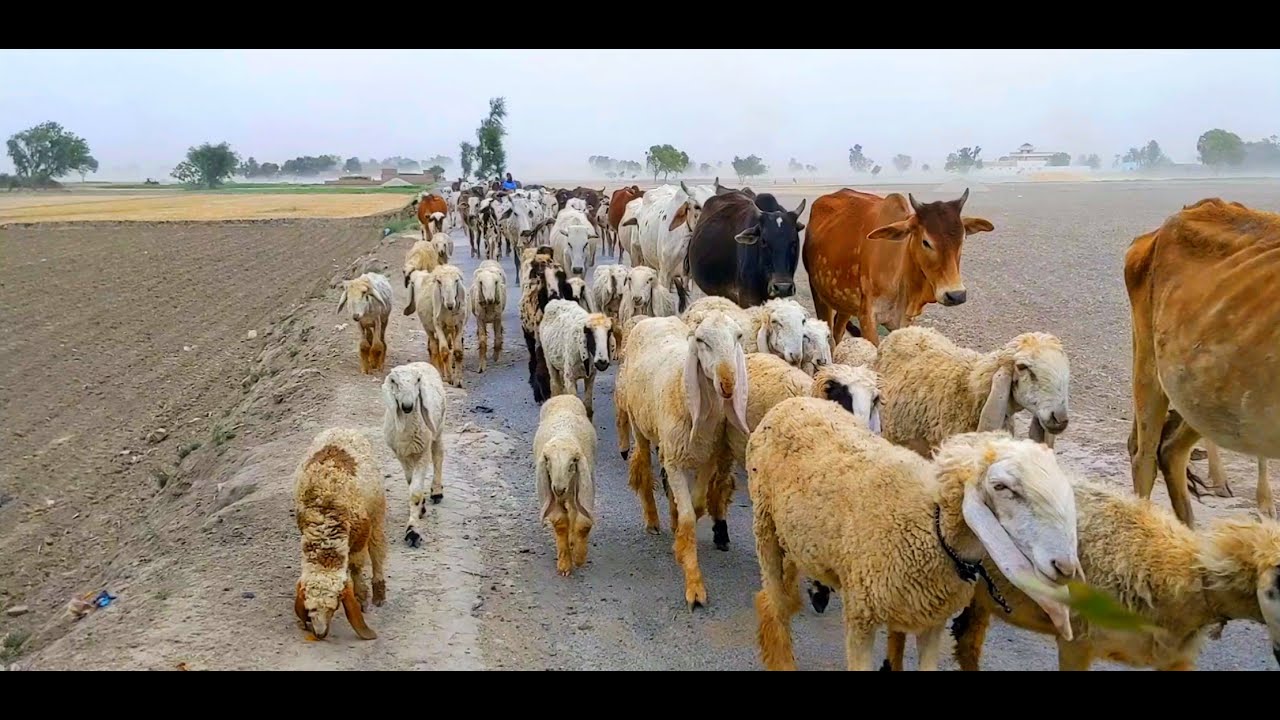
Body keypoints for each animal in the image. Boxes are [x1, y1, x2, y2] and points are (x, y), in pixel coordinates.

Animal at [801, 188, 993, 347]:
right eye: (926, 242)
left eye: (962, 239)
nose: (956, 295)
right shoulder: (867, 317)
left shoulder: (904, 321)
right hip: (819, 294)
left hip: (844, 302)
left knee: (837, 332)